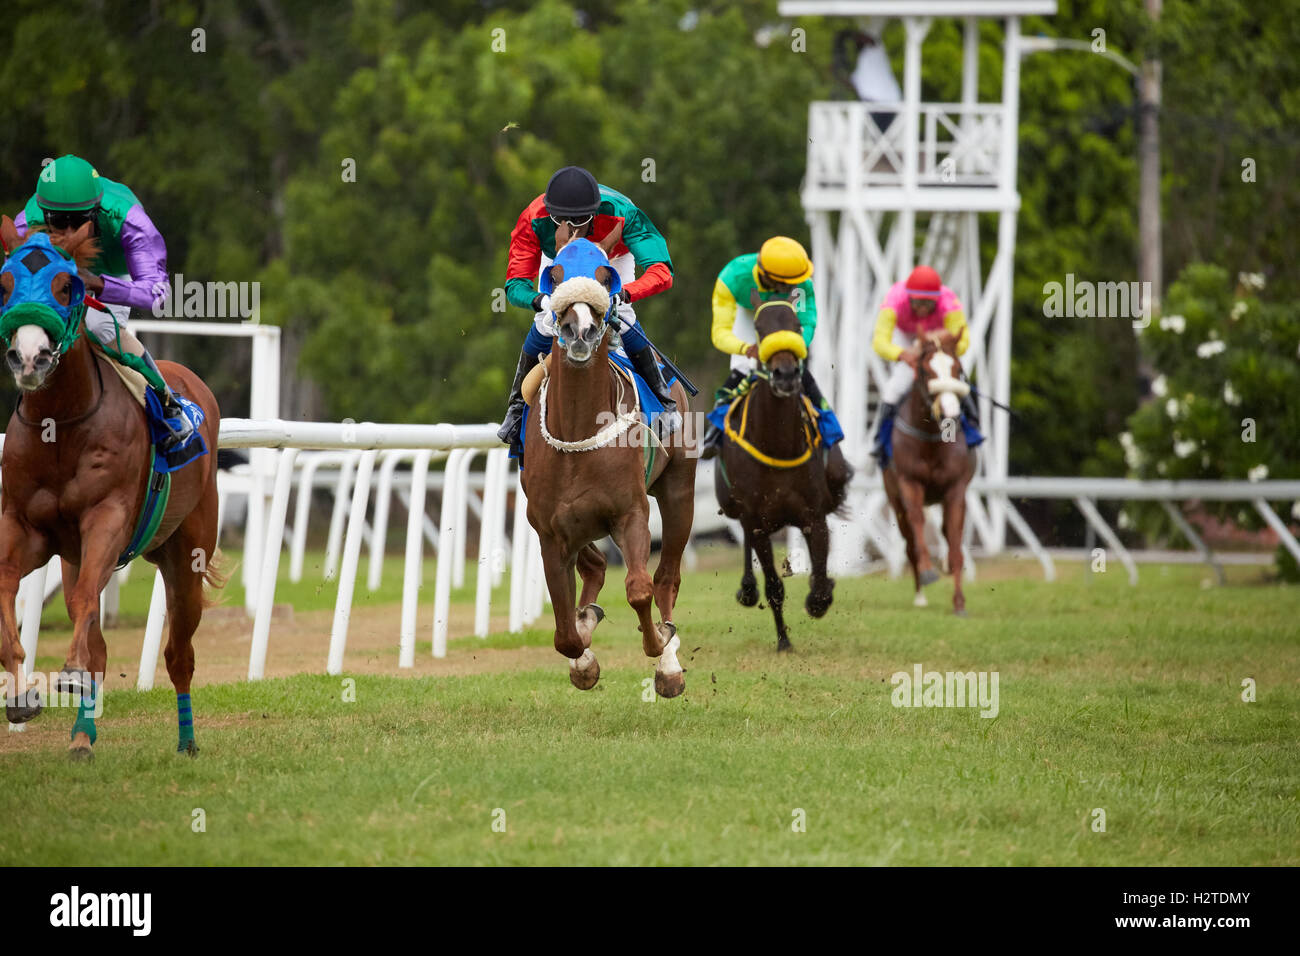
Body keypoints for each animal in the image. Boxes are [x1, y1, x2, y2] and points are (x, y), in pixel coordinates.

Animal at [0, 216, 222, 758]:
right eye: (6, 284)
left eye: (65, 286)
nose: (30, 358)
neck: (60, 428)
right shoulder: (25, 527)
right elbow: (7, 586)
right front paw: (20, 696)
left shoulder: (107, 517)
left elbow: (83, 602)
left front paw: (69, 673)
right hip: (75, 554)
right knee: (100, 638)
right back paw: (82, 736)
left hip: (186, 554)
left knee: (179, 654)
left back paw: (187, 741)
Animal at [520, 240, 696, 696]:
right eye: (554, 277)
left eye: (605, 279)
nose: (578, 331)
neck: (580, 429)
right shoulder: (549, 531)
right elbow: (565, 630)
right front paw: (583, 652)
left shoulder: (630, 513)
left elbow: (639, 589)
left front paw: (660, 645)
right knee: (595, 566)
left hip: (680, 492)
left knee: (667, 577)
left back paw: (669, 665)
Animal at [714, 293, 850, 651]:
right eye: (759, 328)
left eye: (797, 325)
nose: (786, 375)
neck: (778, 444)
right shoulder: (758, 521)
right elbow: (774, 585)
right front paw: (784, 641)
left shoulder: (813, 516)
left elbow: (819, 580)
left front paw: (820, 597)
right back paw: (748, 589)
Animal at [881, 329, 976, 616]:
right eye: (925, 370)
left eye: (958, 369)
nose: (950, 414)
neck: (932, 440)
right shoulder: (908, 483)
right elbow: (917, 526)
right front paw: (927, 572)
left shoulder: (956, 489)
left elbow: (955, 540)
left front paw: (959, 602)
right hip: (894, 497)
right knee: (910, 541)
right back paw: (920, 595)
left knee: (945, 532)